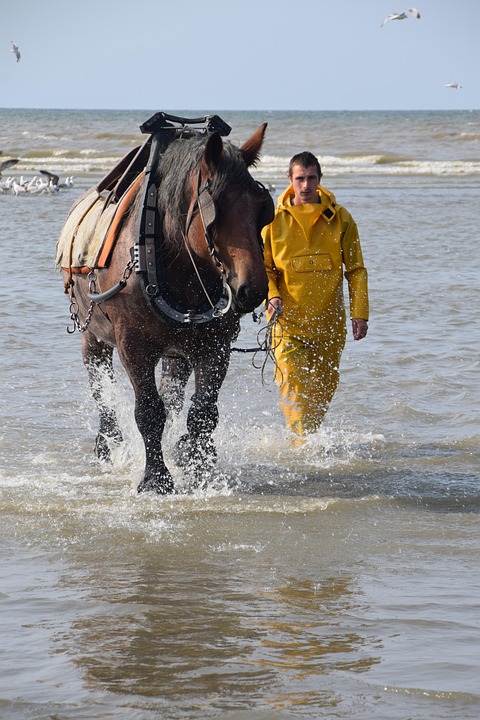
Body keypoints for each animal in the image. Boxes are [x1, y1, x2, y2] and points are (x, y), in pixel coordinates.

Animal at [58, 113, 274, 494]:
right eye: (214, 213)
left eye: (263, 210)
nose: (252, 289)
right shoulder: (133, 345)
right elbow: (148, 411)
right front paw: (156, 479)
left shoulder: (214, 346)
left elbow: (202, 412)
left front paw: (199, 467)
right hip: (92, 334)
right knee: (100, 381)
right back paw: (108, 442)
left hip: (178, 348)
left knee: (172, 393)